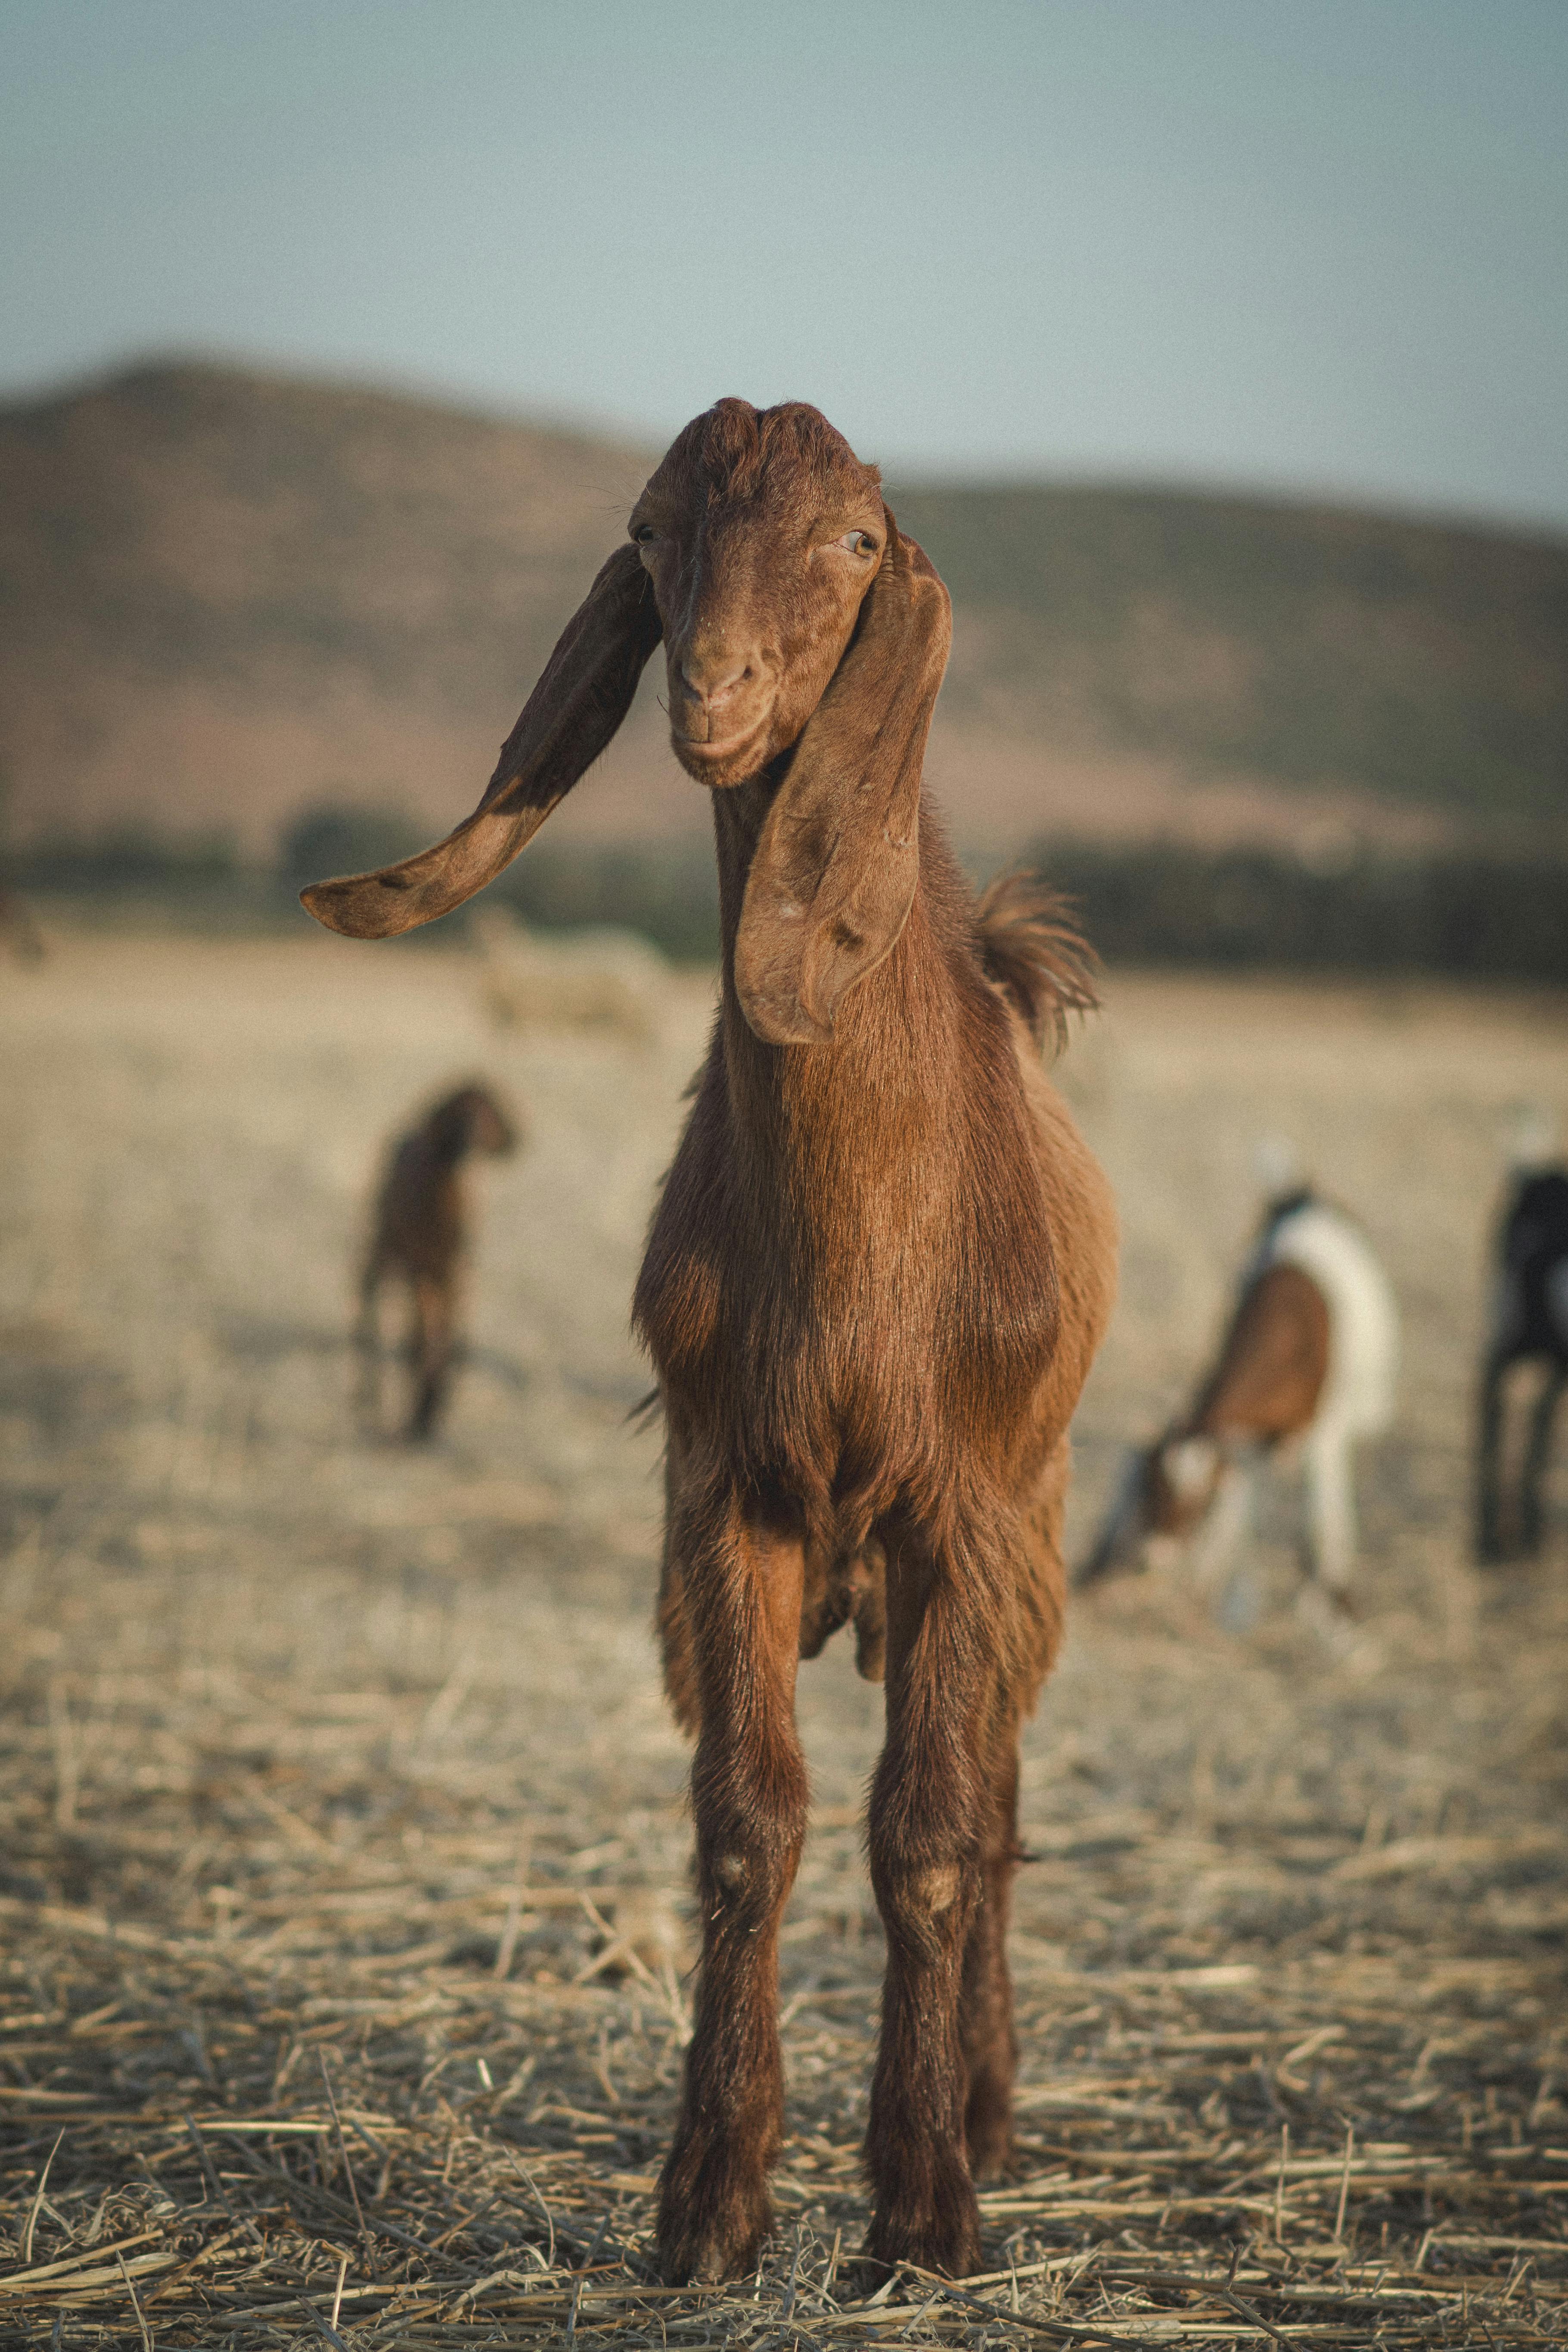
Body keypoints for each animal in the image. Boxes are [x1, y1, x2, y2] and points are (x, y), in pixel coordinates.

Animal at [357, 1082, 520, 1441]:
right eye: (457, 1114)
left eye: (490, 1113)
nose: (466, 1146)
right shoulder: (422, 1272)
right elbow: (429, 1340)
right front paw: (424, 1408)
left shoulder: (459, 1275)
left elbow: (452, 1340)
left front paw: (432, 1407)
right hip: (385, 1248)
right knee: (371, 1300)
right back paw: (370, 1394)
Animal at [1079, 1187, 1398, 1610]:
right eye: (1151, 1486)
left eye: (1202, 1501)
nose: (1156, 1553)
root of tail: (1301, 1195)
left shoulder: (1325, 1432)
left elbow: (1323, 1517)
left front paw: (1330, 1593)